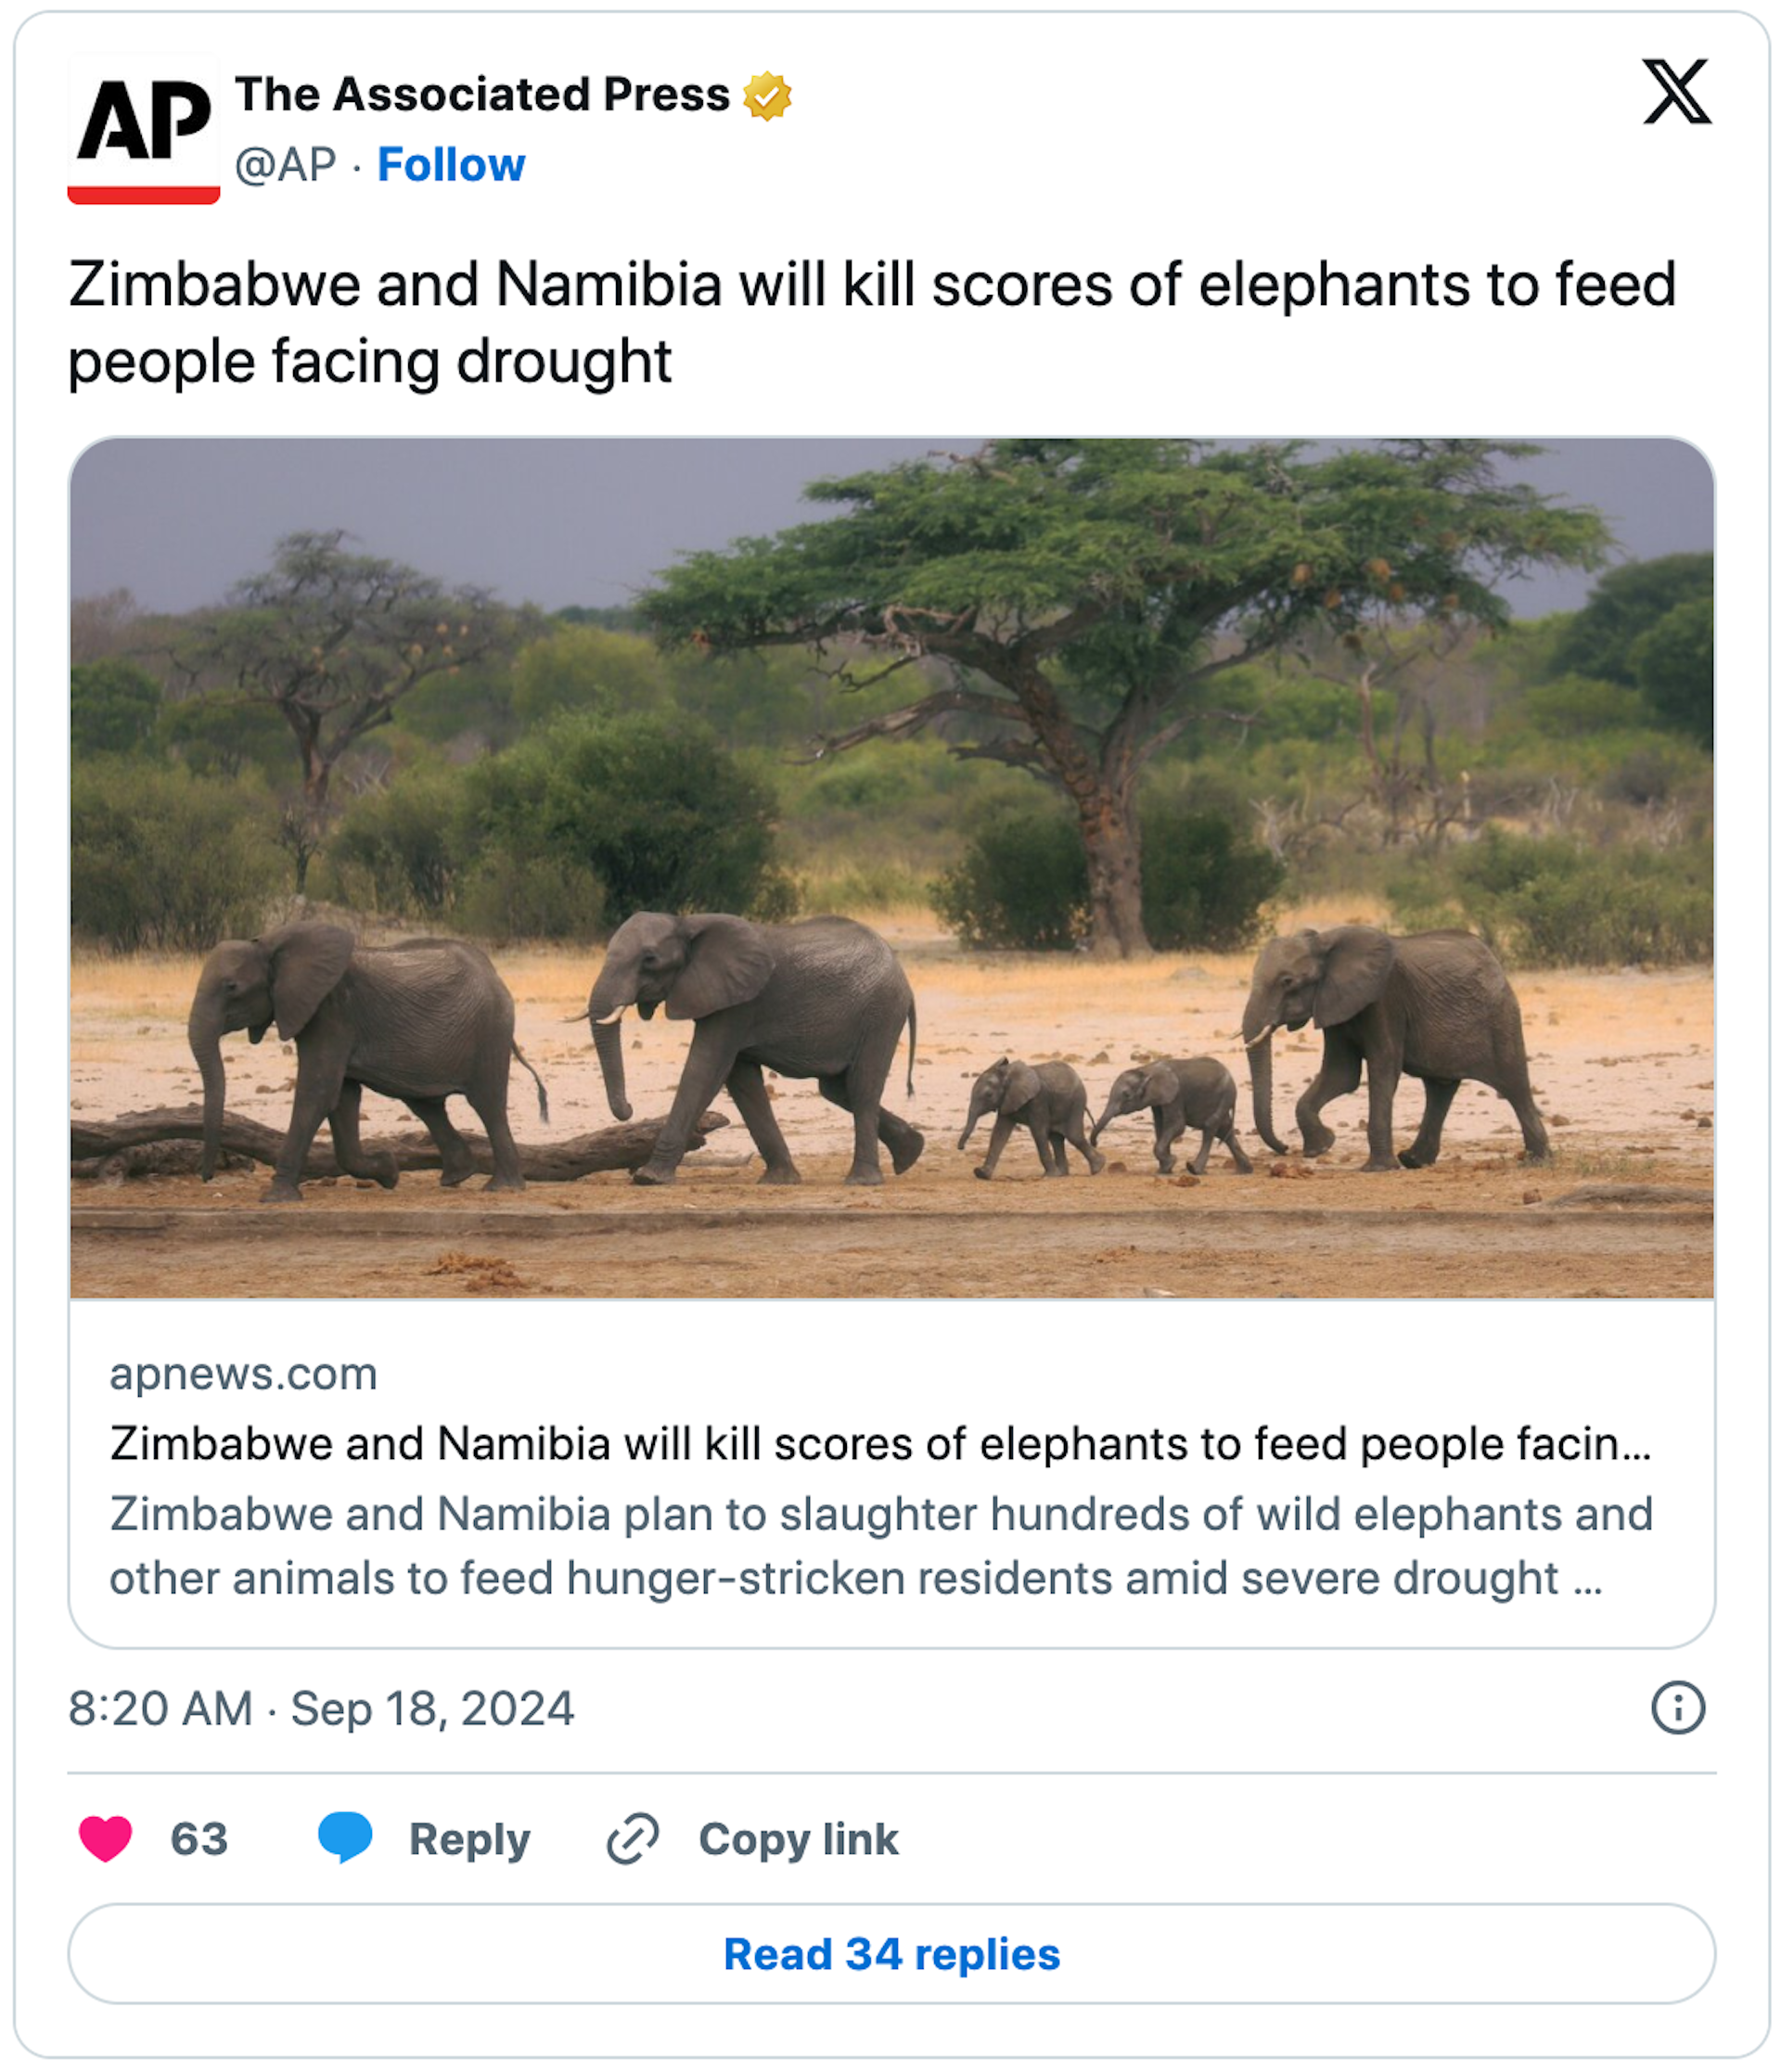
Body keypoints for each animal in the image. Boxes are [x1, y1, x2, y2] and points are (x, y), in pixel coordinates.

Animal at [188, 922, 548, 1203]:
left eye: (231, 987)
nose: (208, 1177)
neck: (271, 944)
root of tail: (495, 974)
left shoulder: (331, 1012)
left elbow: (317, 1094)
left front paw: (275, 1197)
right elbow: (341, 1099)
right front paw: (389, 1172)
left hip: (490, 1031)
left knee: (487, 1104)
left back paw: (502, 1188)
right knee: (425, 1104)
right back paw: (456, 1176)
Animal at [586, 911, 923, 1187]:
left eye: (650, 959)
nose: (629, 1110)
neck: (688, 923)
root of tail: (903, 977)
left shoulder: (738, 1005)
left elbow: (705, 1069)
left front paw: (649, 1178)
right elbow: (742, 1081)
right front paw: (780, 1180)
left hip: (880, 1014)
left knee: (861, 1088)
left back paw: (862, 1180)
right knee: (837, 1089)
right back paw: (911, 1152)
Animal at [957, 1058, 1104, 1180]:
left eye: (989, 1095)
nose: (961, 1147)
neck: (1007, 1074)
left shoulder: (1038, 1100)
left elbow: (1038, 1132)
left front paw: (1049, 1176)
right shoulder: (1007, 1100)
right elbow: (999, 1133)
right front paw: (981, 1174)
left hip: (1076, 1102)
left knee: (1074, 1136)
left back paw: (1098, 1168)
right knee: (1056, 1138)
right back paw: (1063, 1174)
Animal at [1092, 1058, 1253, 1175]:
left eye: (1126, 1095)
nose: (1095, 1143)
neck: (1146, 1070)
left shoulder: (1175, 1096)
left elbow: (1177, 1125)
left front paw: (1171, 1163)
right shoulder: (1159, 1101)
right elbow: (1160, 1126)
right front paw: (1164, 1170)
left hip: (1226, 1095)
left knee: (1210, 1126)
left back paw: (1195, 1170)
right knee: (1225, 1130)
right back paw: (1245, 1171)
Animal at [1240, 925, 1549, 1172]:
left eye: (1287, 982)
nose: (1284, 1148)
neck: (1326, 941)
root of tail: (1494, 960)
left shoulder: (1385, 999)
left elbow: (1382, 1067)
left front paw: (1377, 1169)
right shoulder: (1335, 1004)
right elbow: (1341, 1074)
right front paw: (1322, 1146)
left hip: (1500, 1016)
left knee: (1514, 1084)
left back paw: (1538, 1160)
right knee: (1440, 1088)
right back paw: (1413, 1160)